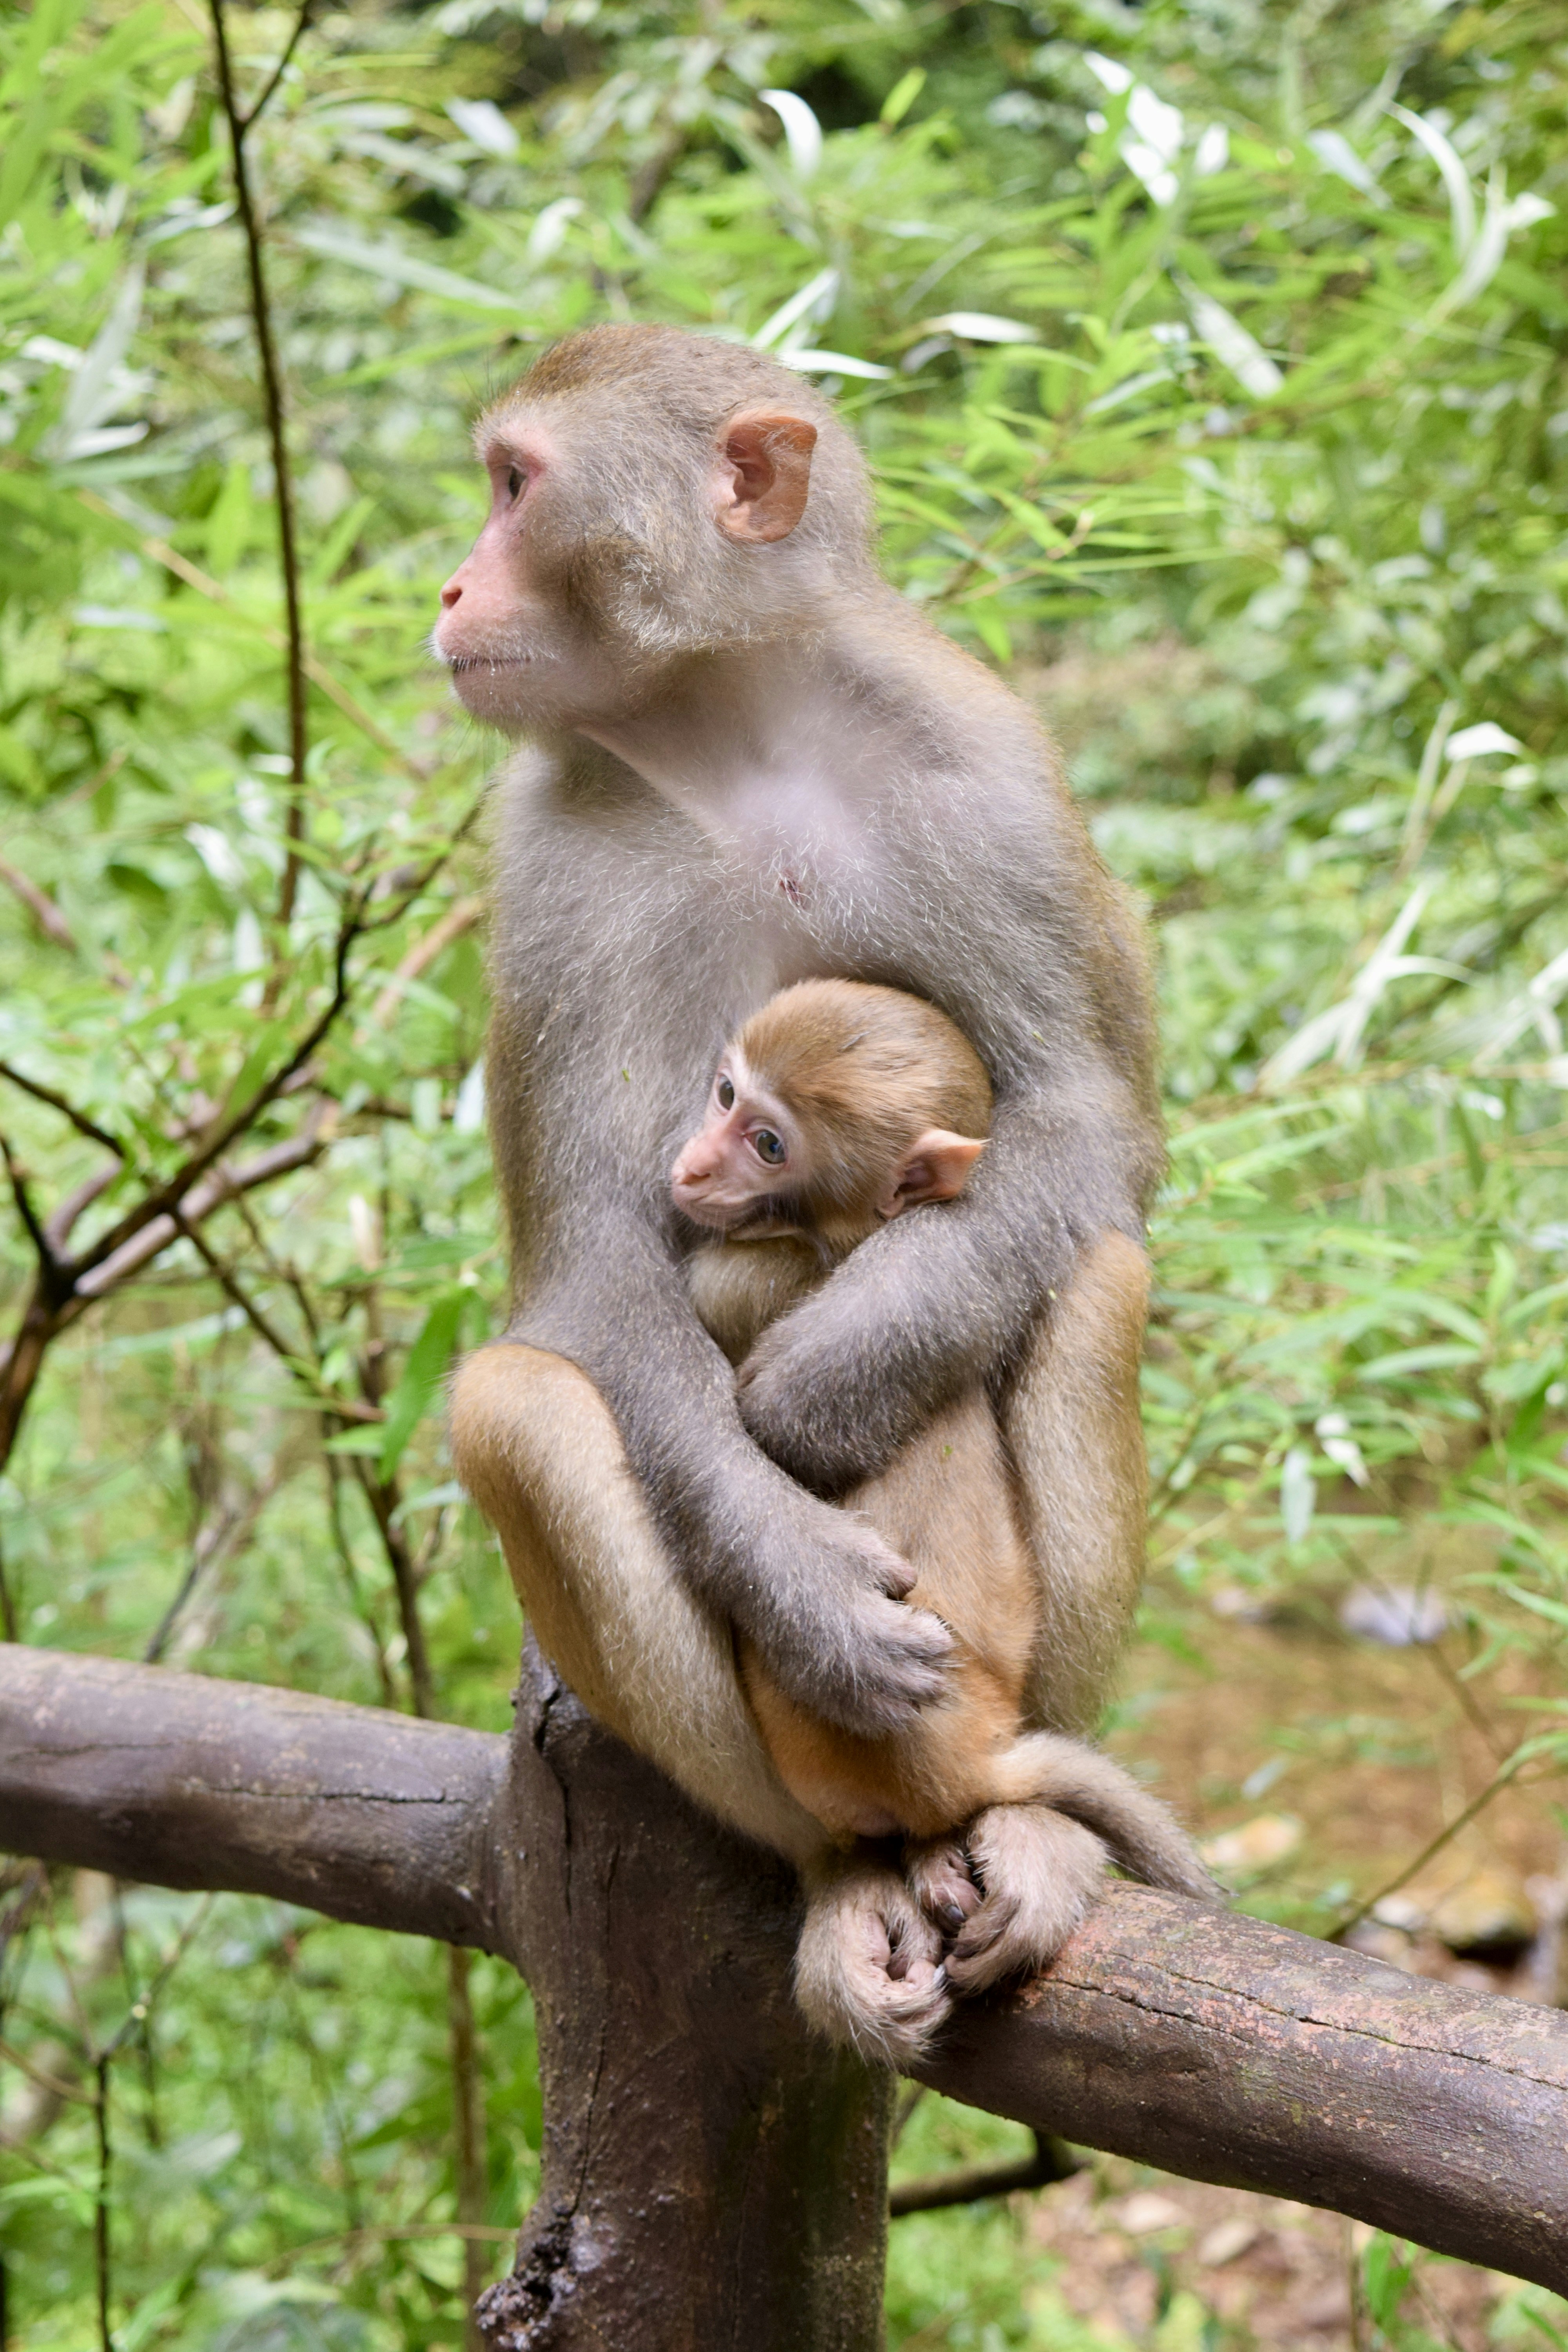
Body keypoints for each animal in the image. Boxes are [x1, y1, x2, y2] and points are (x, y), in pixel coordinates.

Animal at [669, 977, 1211, 2054]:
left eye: (769, 1144)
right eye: (724, 1093)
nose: (695, 1162)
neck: (842, 1235)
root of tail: (965, 1764)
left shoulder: (744, 1272)